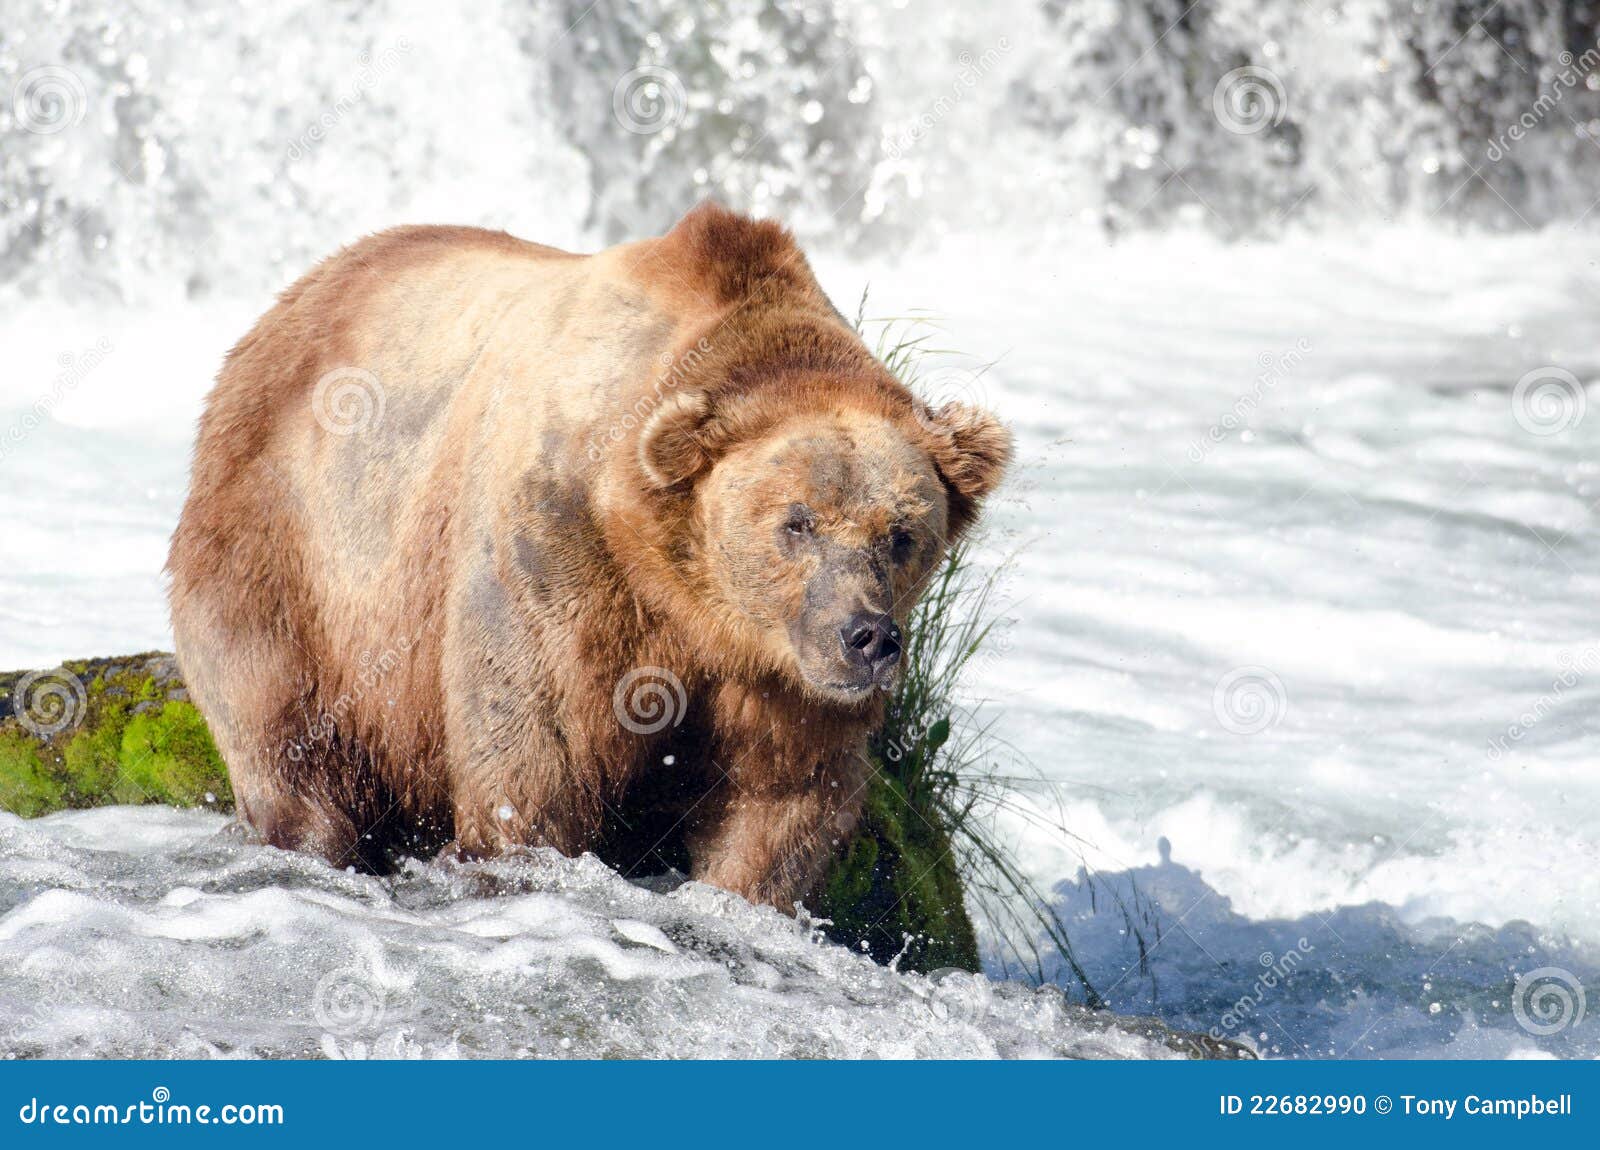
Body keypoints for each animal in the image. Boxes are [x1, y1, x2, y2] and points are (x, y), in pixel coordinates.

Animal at [166, 202, 1011, 910]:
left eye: (901, 533)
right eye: (797, 523)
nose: (866, 637)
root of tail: (294, 297)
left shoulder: (779, 675)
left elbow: (783, 795)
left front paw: (737, 894)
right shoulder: (555, 542)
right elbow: (538, 744)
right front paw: (512, 854)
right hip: (293, 544)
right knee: (279, 714)